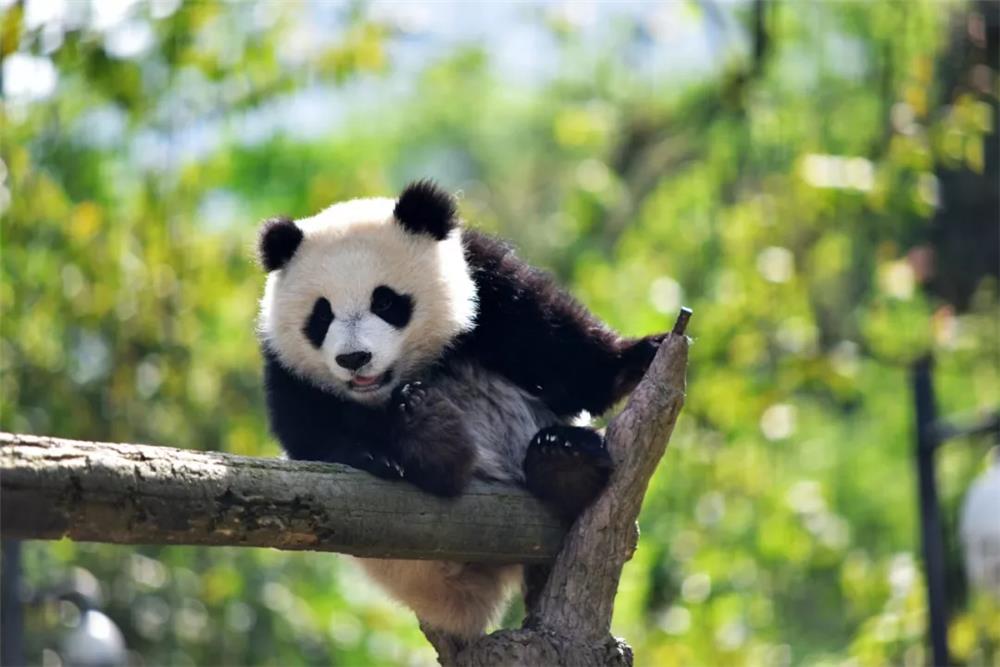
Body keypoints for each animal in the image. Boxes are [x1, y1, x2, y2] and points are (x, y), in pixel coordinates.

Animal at [256, 180, 664, 639]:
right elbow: (308, 436)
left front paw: (641, 355)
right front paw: (372, 455)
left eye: (386, 302)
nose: (354, 358)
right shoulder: (284, 366)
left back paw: (562, 463)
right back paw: (434, 441)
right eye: (321, 315)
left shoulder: (488, 283)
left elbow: (560, 349)